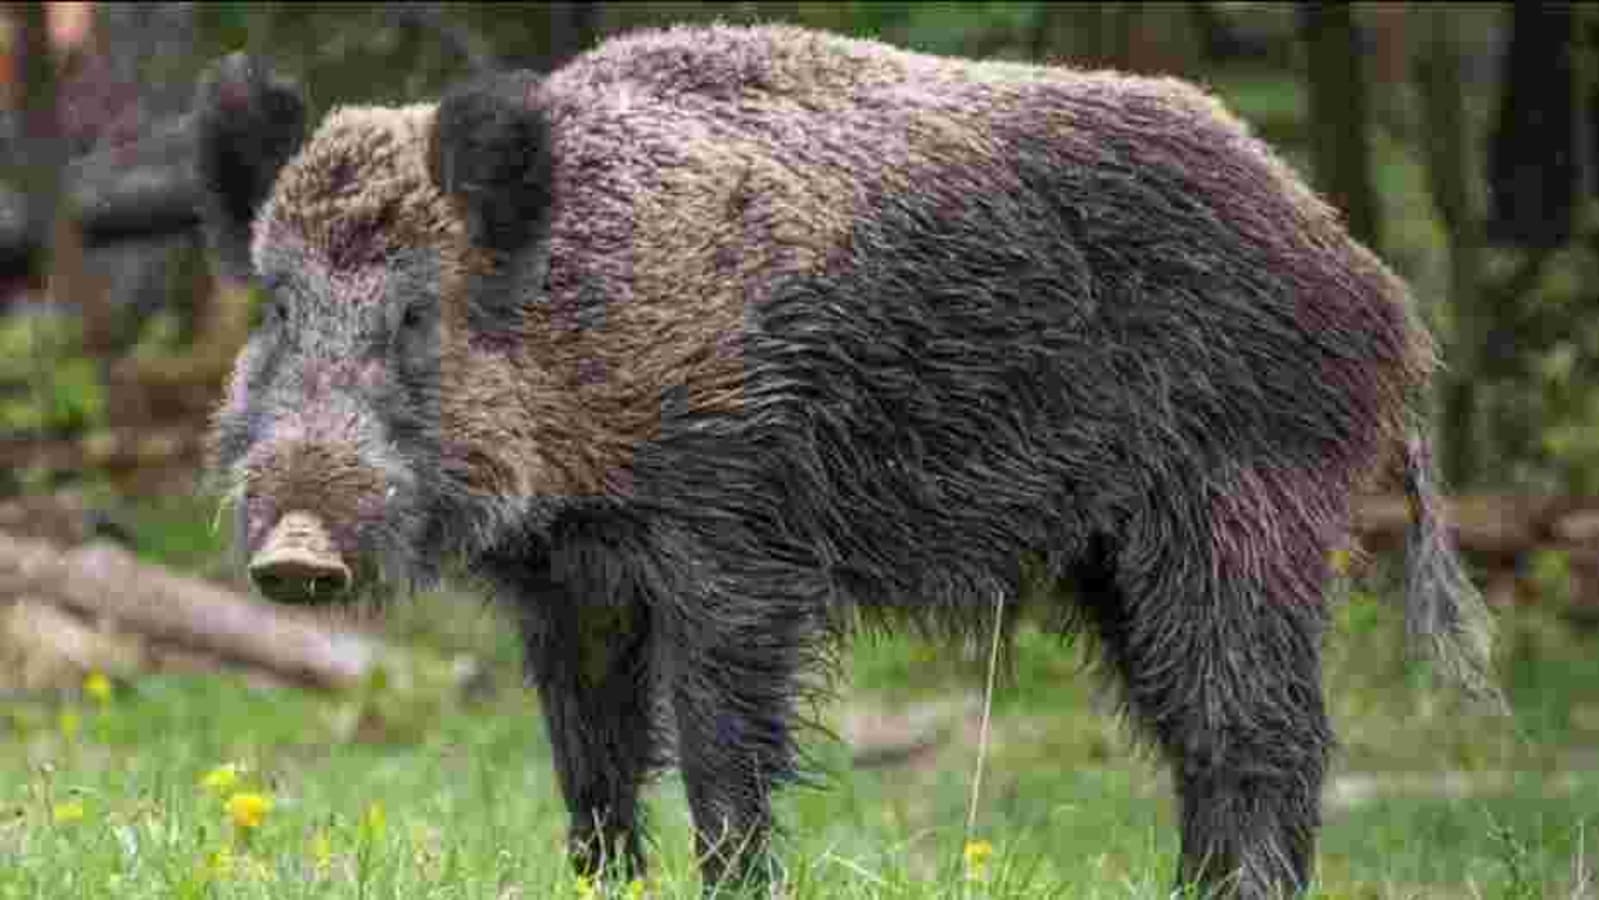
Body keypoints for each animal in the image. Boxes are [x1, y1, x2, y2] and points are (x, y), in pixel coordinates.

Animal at [198, 25, 1496, 898]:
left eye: (420, 314)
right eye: (276, 306)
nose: (296, 553)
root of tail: (1377, 291)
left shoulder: (739, 541)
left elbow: (724, 758)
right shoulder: (569, 584)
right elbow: (592, 764)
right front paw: (602, 877)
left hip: (1242, 504)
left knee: (1264, 732)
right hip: (1116, 560)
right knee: (1198, 736)